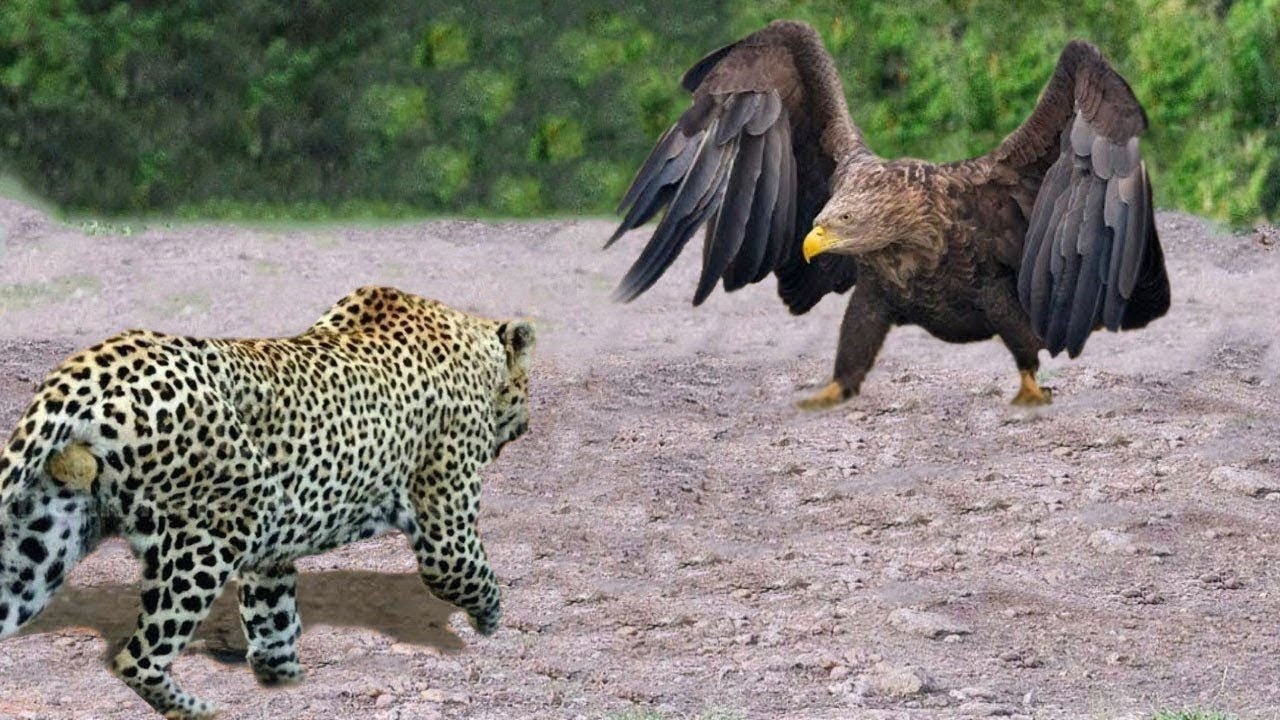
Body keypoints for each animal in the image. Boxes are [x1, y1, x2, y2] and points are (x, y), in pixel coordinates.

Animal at [0, 286, 534, 718]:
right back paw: (199, 709)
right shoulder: (446, 526)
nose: (527, 425)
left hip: (40, 544)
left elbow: (273, 623)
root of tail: (95, 365)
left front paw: (286, 683)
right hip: (212, 534)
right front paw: (490, 624)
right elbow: (470, 576)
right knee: (137, 657)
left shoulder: (270, 557)